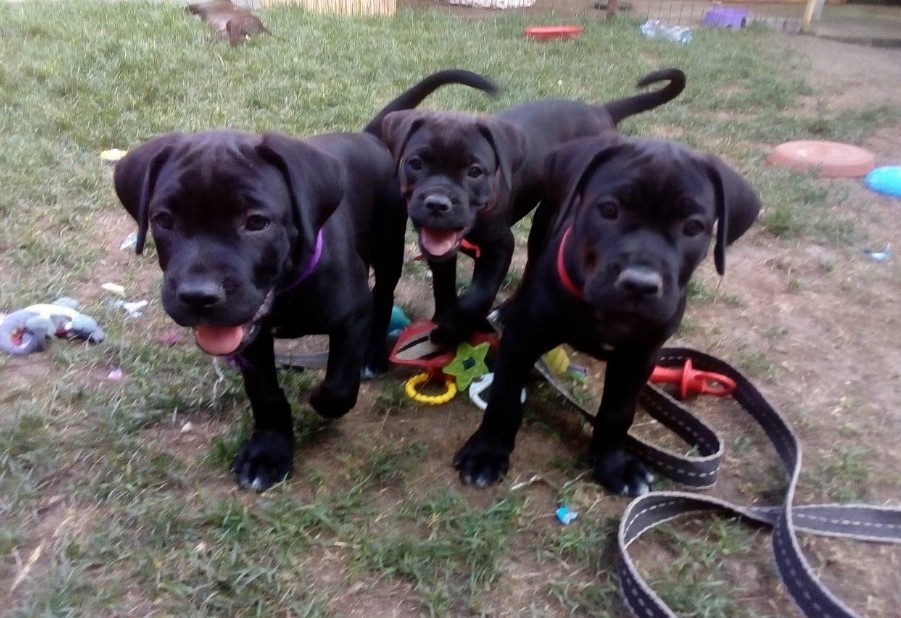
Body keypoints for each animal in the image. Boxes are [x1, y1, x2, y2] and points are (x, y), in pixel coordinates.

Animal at [115, 68, 496, 490]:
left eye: (256, 222)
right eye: (164, 219)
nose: (198, 297)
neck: (287, 289)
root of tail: (367, 135)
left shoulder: (352, 315)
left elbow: (339, 385)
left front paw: (320, 399)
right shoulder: (250, 338)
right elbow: (265, 395)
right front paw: (268, 452)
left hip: (388, 246)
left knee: (383, 297)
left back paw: (373, 356)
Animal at [378, 69, 684, 346]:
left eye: (475, 171)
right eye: (415, 164)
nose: (437, 203)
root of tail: (600, 111)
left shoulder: (501, 248)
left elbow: (477, 296)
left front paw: (454, 329)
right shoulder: (439, 251)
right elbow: (444, 288)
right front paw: (441, 321)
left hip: (547, 217)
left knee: (532, 263)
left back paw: (507, 312)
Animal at [454, 132, 756, 494]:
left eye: (694, 227)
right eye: (608, 209)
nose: (639, 284)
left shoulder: (639, 359)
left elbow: (617, 413)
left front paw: (613, 465)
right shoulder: (523, 341)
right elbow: (505, 398)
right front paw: (486, 454)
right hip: (544, 223)